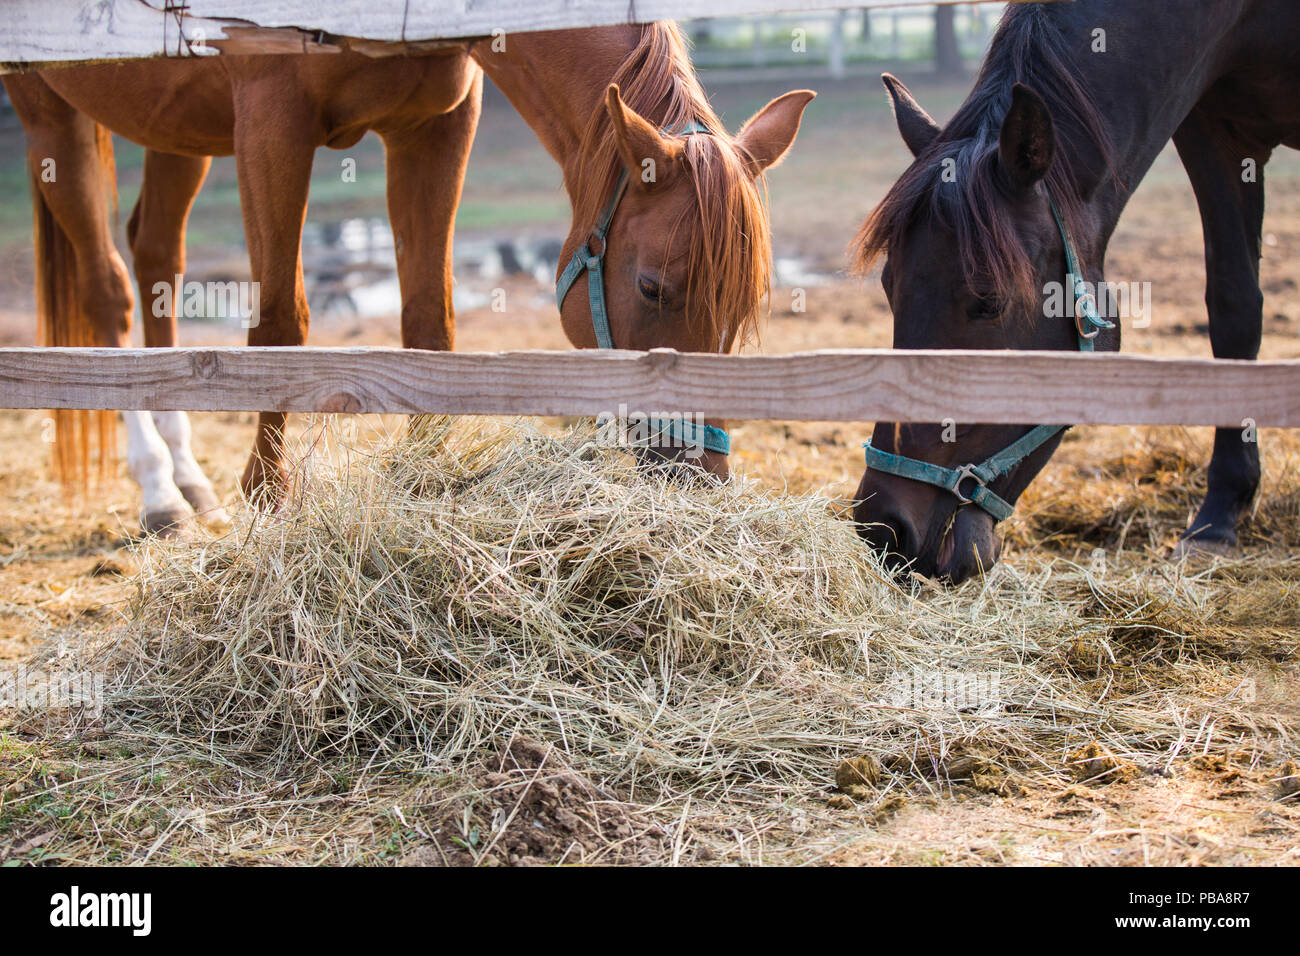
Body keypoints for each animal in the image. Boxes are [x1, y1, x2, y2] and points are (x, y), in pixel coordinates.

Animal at [5, 22, 813, 533]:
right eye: (651, 288)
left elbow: (429, 318)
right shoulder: (272, 120)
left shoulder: (434, 128)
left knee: (156, 262)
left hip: (175, 132)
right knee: (107, 291)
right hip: (51, 112)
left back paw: (186, 476)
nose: (702, 478)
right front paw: (269, 490)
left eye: (745, 306)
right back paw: (157, 490)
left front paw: (425, 475)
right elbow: (280, 319)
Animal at [850, 0, 1300, 583]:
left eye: (988, 301)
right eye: (889, 287)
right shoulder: (1215, 131)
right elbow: (1234, 307)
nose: (883, 528)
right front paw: (1219, 517)